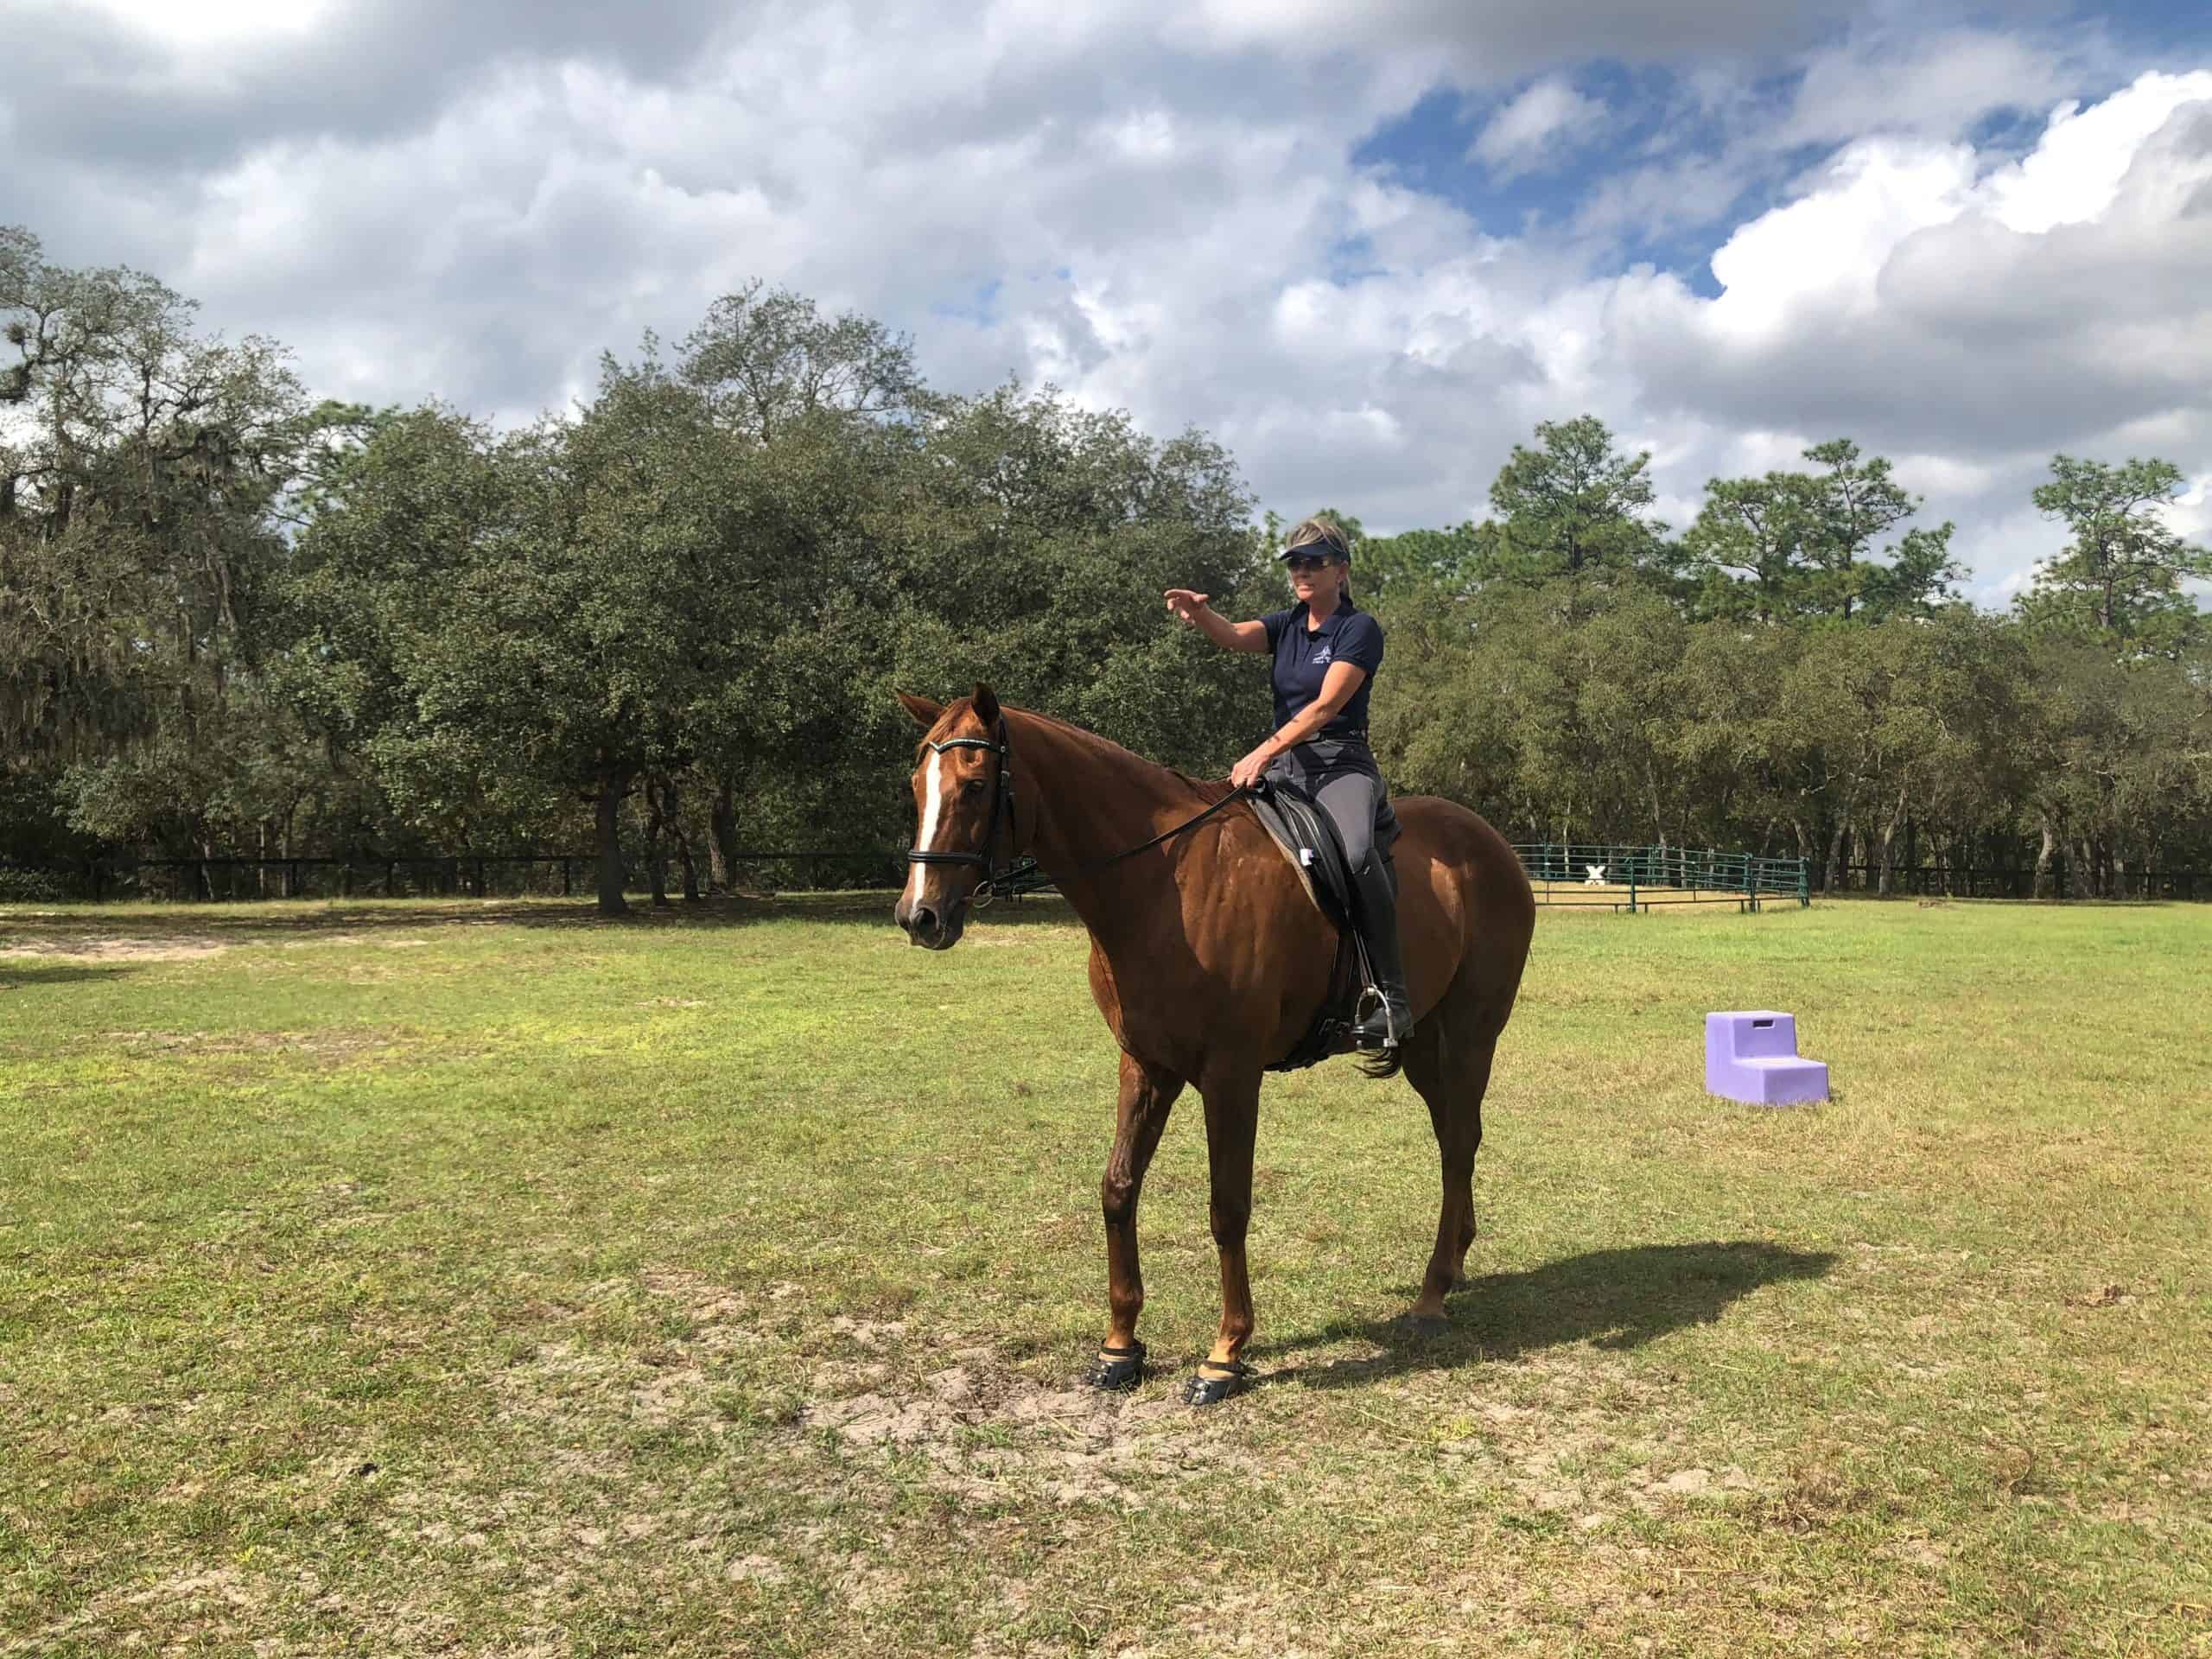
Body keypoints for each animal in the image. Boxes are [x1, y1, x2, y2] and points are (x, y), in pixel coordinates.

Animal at [894, 685, 1535, 1404]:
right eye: (917, 785)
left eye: (976, 785)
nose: (919, 917)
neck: (1161, 883)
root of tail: (1491, 844)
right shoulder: (1146, 1064)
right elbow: (1118, 1188)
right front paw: (1120, 1348)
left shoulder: (1231, 1074)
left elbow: (1228, 1206)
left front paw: (1225, 1354)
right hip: (1425, 1044)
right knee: (1456, 1139)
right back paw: (1454, 1263)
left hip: (1469, 1036)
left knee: (1459, 1142)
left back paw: (1431, 1294)